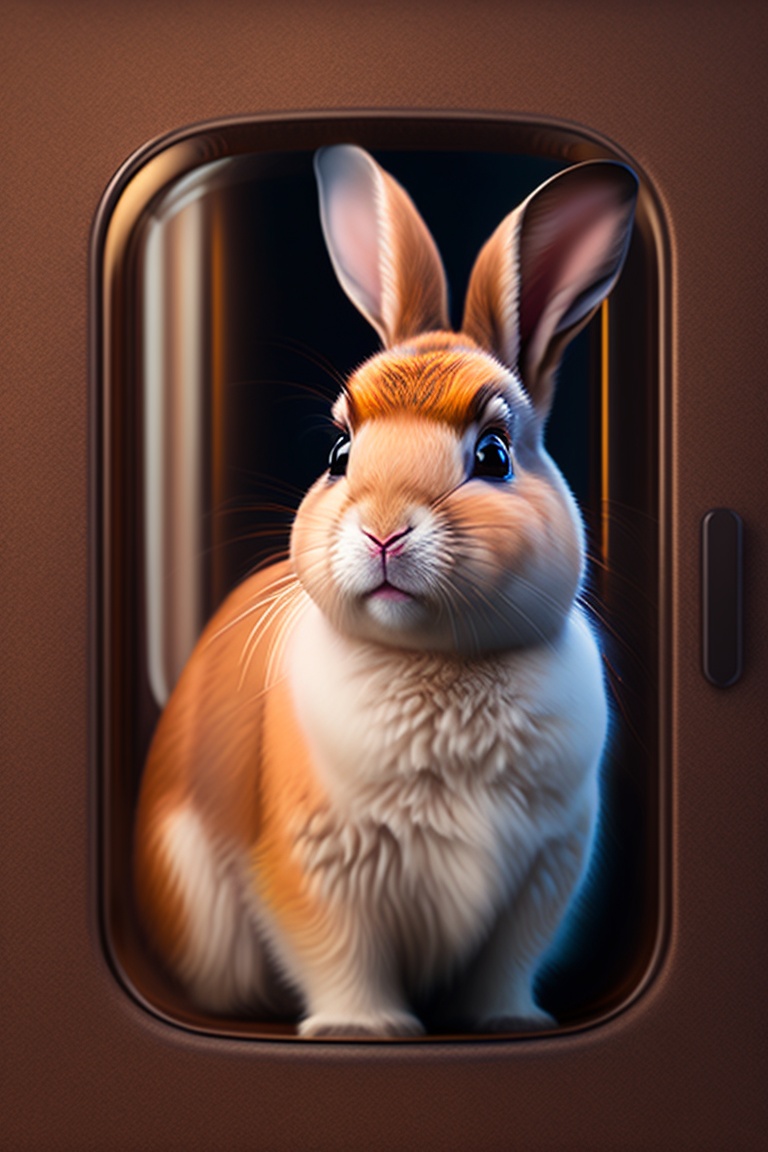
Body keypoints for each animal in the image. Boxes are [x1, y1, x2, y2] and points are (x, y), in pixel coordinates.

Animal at [134, 145, 638, 1038]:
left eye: (495, 454)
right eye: (339, 452)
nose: (382, 532)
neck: (441, 664)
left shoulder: (545, 871)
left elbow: (505, 965)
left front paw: (507, 1024)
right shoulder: (309, 861)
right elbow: (339, 951)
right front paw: (362, 1030)